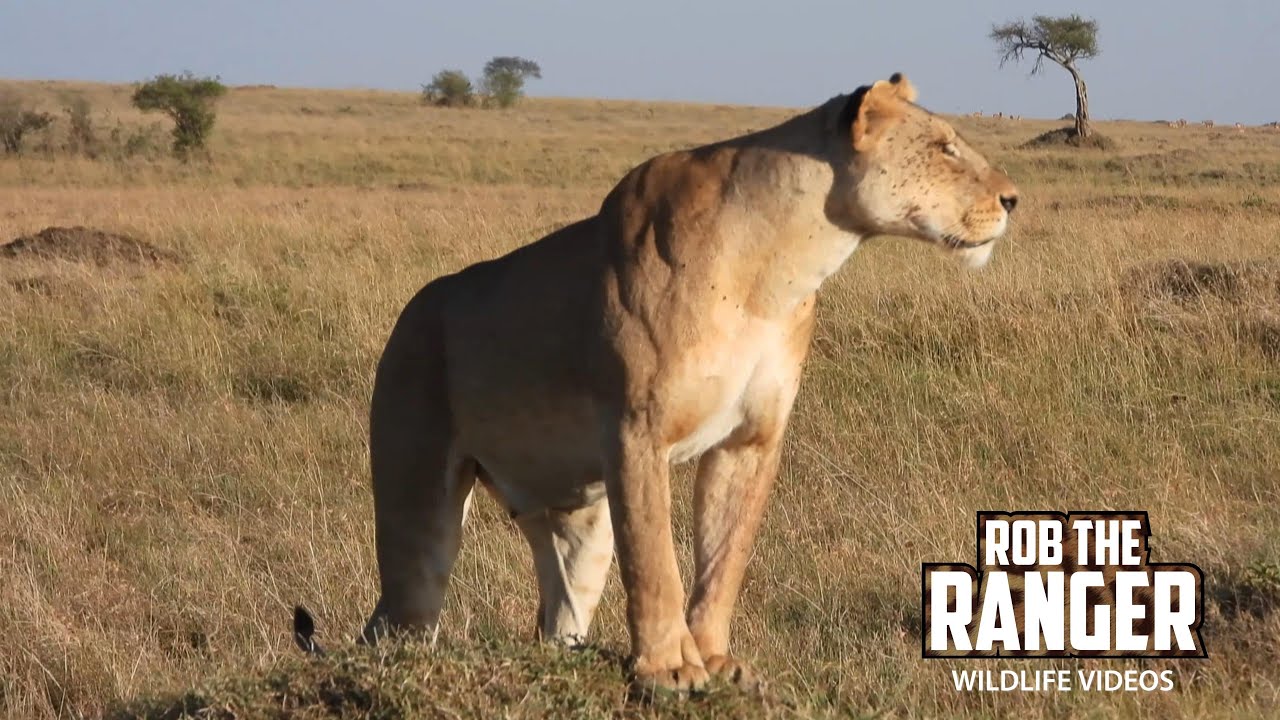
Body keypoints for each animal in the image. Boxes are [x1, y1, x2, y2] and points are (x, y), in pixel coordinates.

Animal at [294, 73, 1018, 693]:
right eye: (945, 147)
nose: (1013, 199)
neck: (781, 266)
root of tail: (414, 309)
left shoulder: (750, 441)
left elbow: (724, 560)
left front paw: (716, 660)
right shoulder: (636, 431)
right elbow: (655, 563)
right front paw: (670, 667)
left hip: (573, 522)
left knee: (555, 618)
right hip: (418, 490)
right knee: (402, 616)